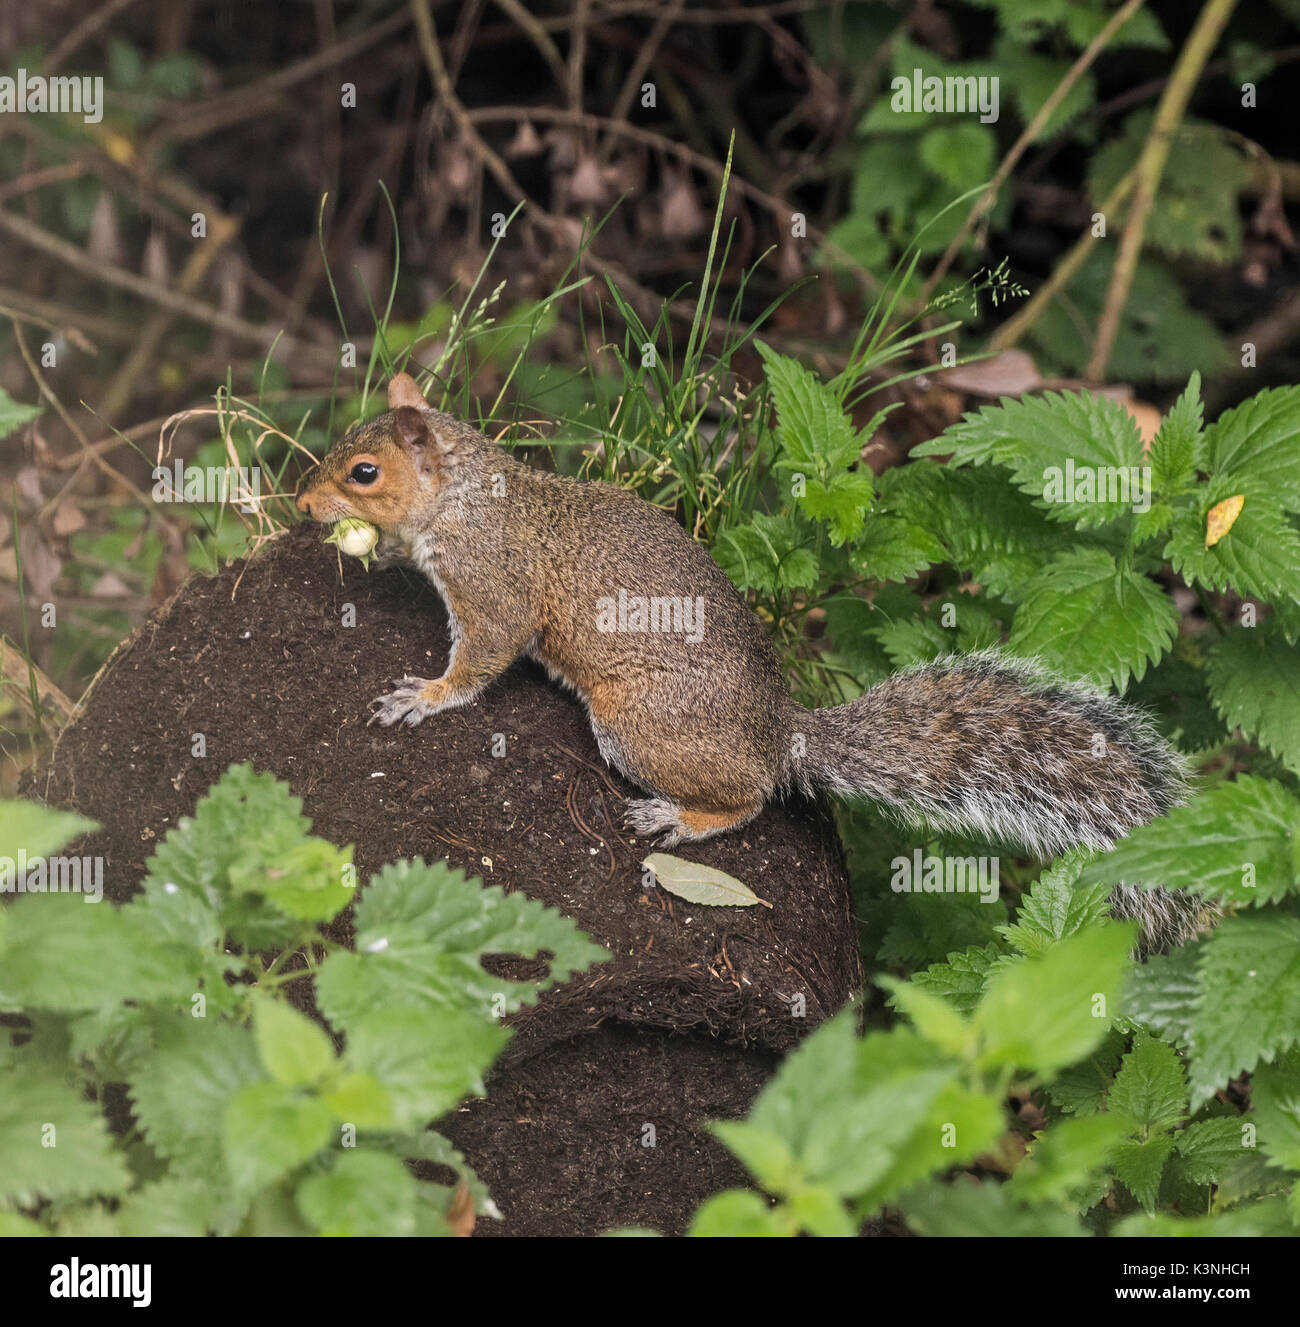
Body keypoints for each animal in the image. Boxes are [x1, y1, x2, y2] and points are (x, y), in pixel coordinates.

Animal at [297, 373, 1192, 925]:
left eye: (365, 470)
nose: (303, 503)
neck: (466, 498)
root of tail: (779, 732)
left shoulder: (494, 589)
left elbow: (483, 655)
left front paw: (424, 695)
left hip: (640, 724)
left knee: (751, 797)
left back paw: (680, 817)